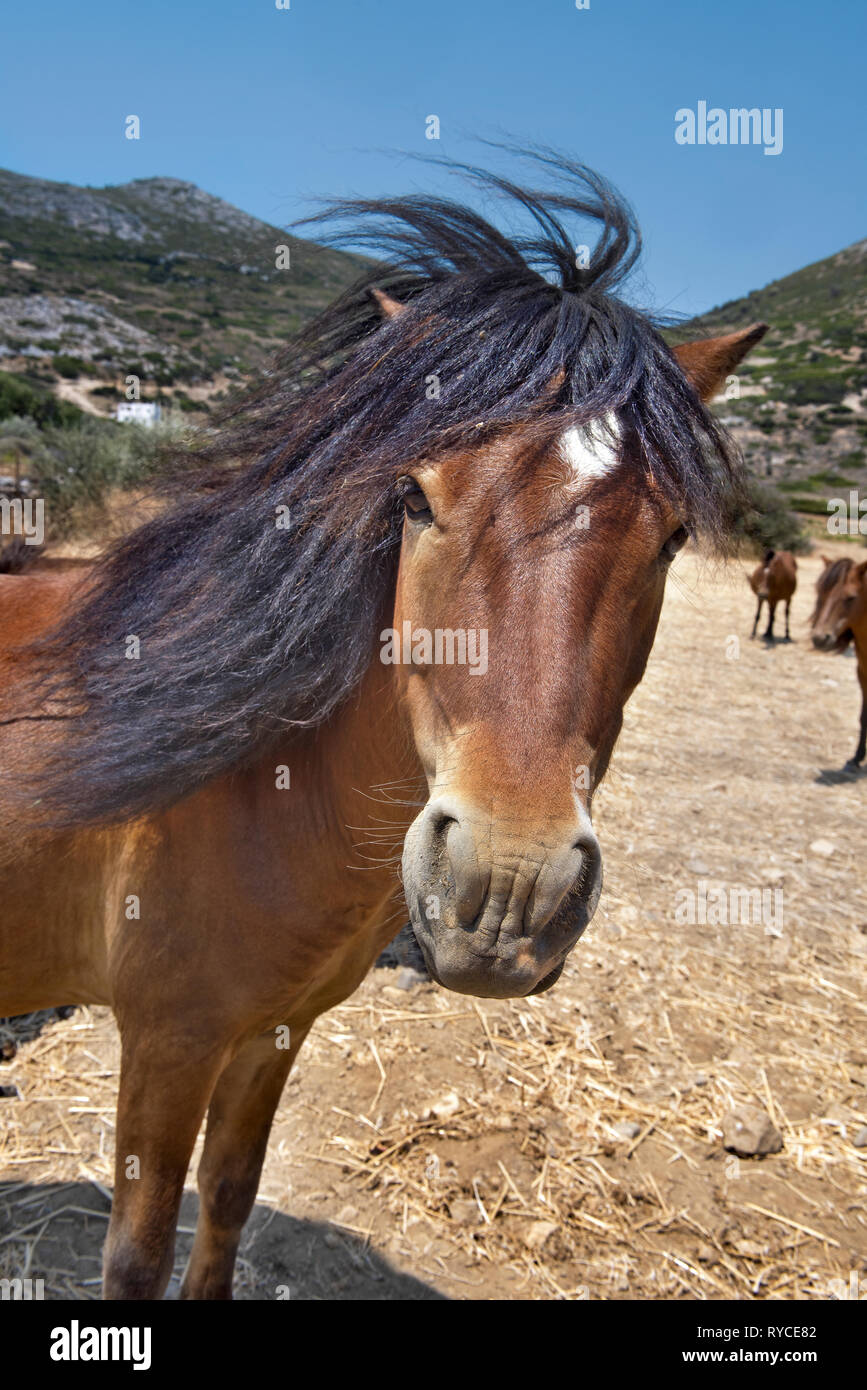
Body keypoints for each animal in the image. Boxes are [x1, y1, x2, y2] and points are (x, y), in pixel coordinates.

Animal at [0, 151, 769, 1300]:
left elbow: (227, 1200)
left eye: (673, 536)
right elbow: (136, 1259)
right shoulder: (168, 1041)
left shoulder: (272, 1032)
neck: (255, 775)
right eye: (413, 495)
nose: (507, 891)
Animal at [810, 555, 867, 769]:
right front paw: (857, 757)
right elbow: (863, 716)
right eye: (821, 592)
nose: (820, 638)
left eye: (851, 598)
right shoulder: (862, 674)